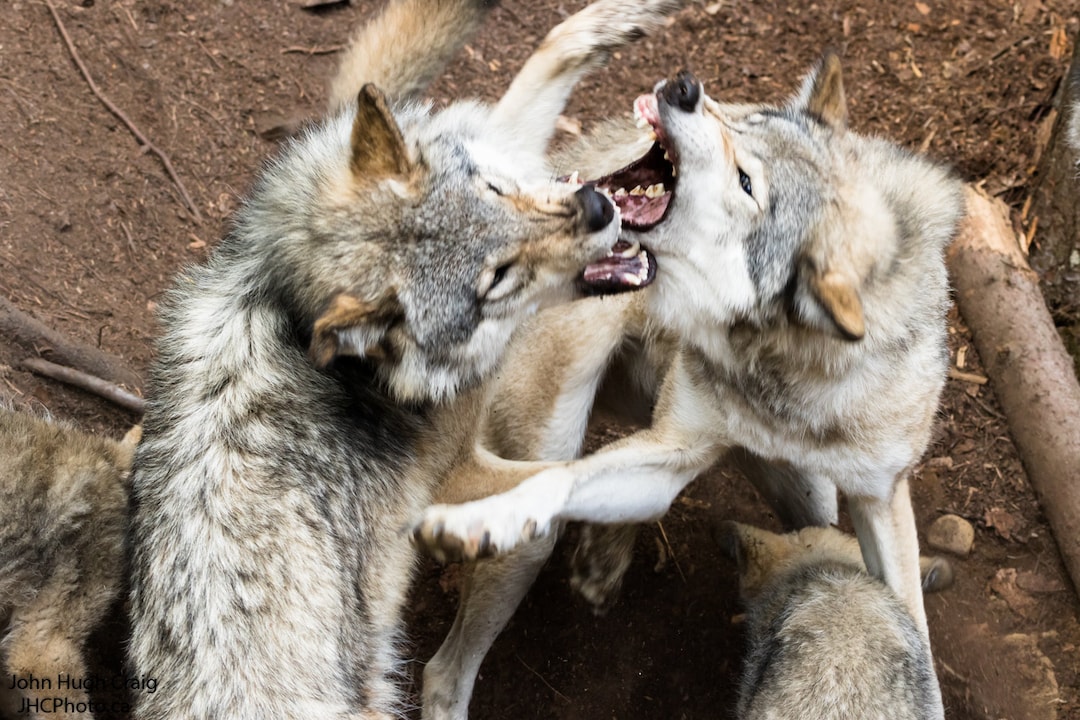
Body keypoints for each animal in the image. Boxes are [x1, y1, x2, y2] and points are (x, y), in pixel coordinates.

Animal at [125, 0, 679, 718]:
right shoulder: (454, 473)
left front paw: (619, 21)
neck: (278, 294)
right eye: (495, 280)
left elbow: (542, 55)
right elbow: (579, 480)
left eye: (494, 191)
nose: (596, 206)